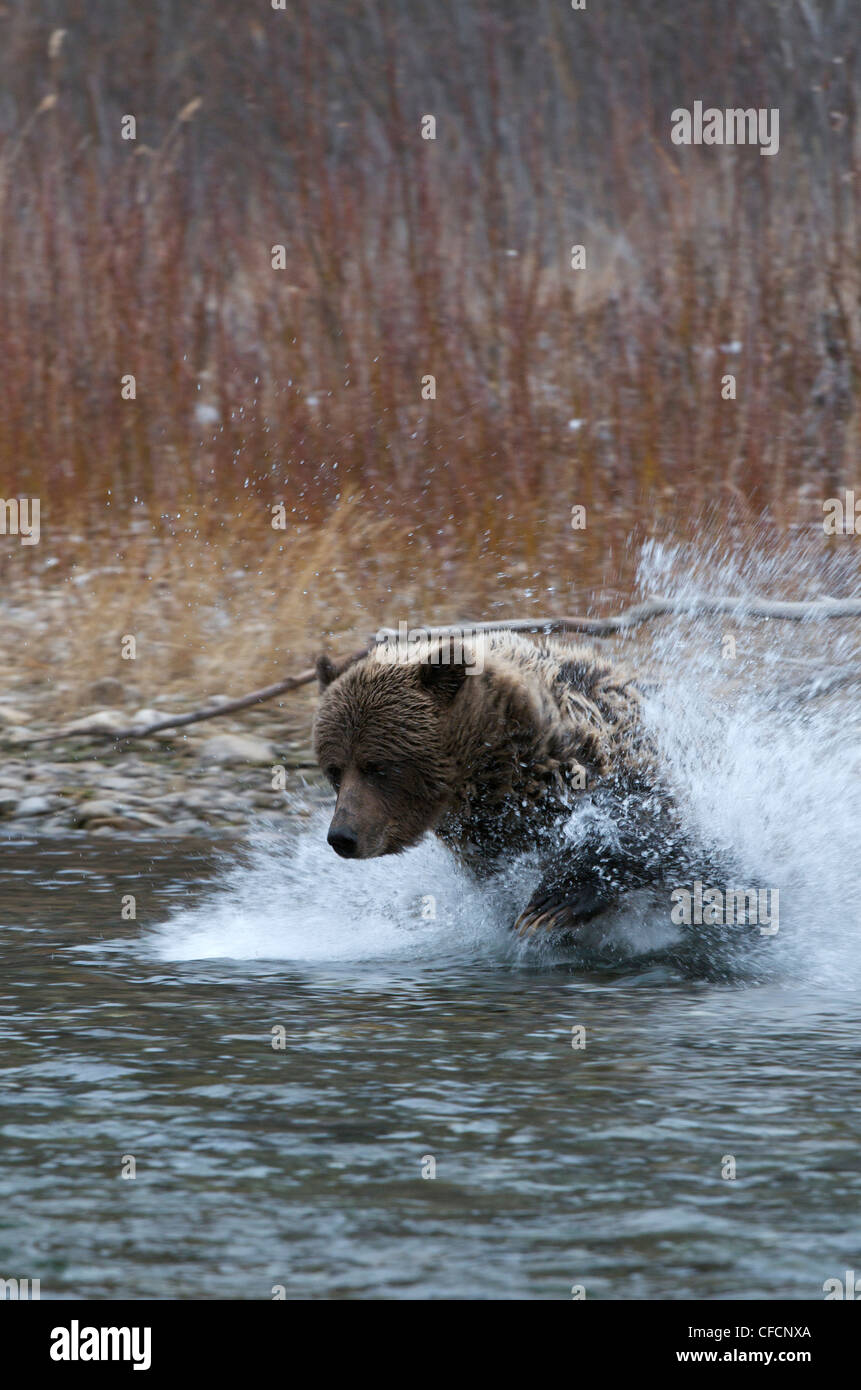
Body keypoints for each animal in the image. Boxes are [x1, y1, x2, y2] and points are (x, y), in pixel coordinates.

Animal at [312, 630, 719, 938]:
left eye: (377, 767)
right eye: (335, 770)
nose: (343, 836)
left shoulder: (590, 759)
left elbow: (647, 826)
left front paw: (550, 905)